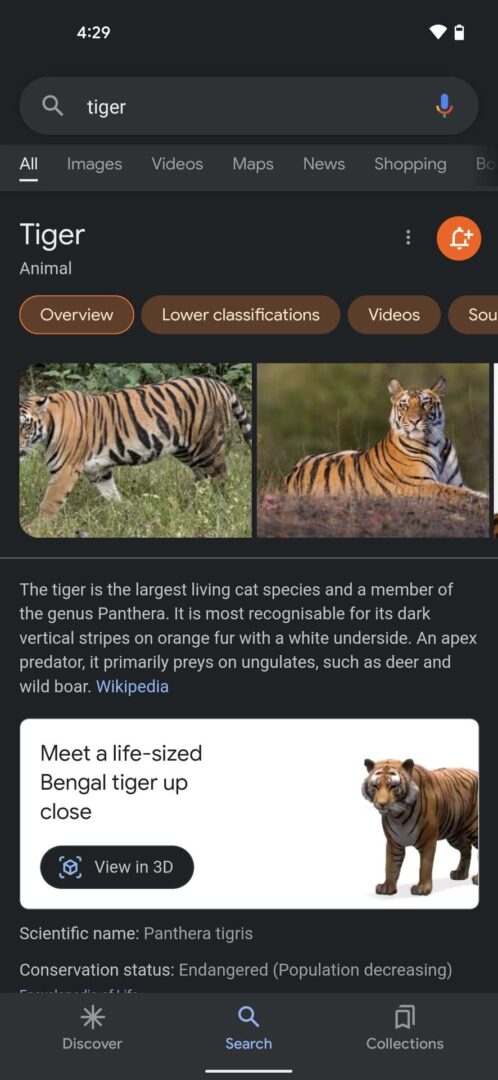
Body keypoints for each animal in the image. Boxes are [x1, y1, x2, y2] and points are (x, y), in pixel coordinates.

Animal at [19, 375, 252, 520]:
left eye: (25, 425)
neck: (48, 426)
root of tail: (219, 384)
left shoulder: (65, 470)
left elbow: (49, 502)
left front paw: (38, 528)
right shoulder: (98, 470)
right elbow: (111, 493)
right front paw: (123, 511)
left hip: (207, 446)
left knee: (221, 477)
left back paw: (219, 505)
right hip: (186, 450)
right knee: (204, 477)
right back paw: (196, 500)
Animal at [286, 376, 485, 504]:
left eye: (425, 403)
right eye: (404, 405)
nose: (414, 420)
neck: (435, 441)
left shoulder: (456, 481)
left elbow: (470, 490)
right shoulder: (420, 483)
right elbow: (456, 492)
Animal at [362, 758, 478, 896]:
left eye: (393, 786)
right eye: (375, 786)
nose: (381, 804)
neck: (398, 816)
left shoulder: (428, 840)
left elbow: (425, 866)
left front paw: (422, 888)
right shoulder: (393, 842)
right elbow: (390, 865)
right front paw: (387, 887)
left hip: (474, 827)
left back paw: (477, 878)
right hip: (454, 833)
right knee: (466, 848)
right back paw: (460, 874)